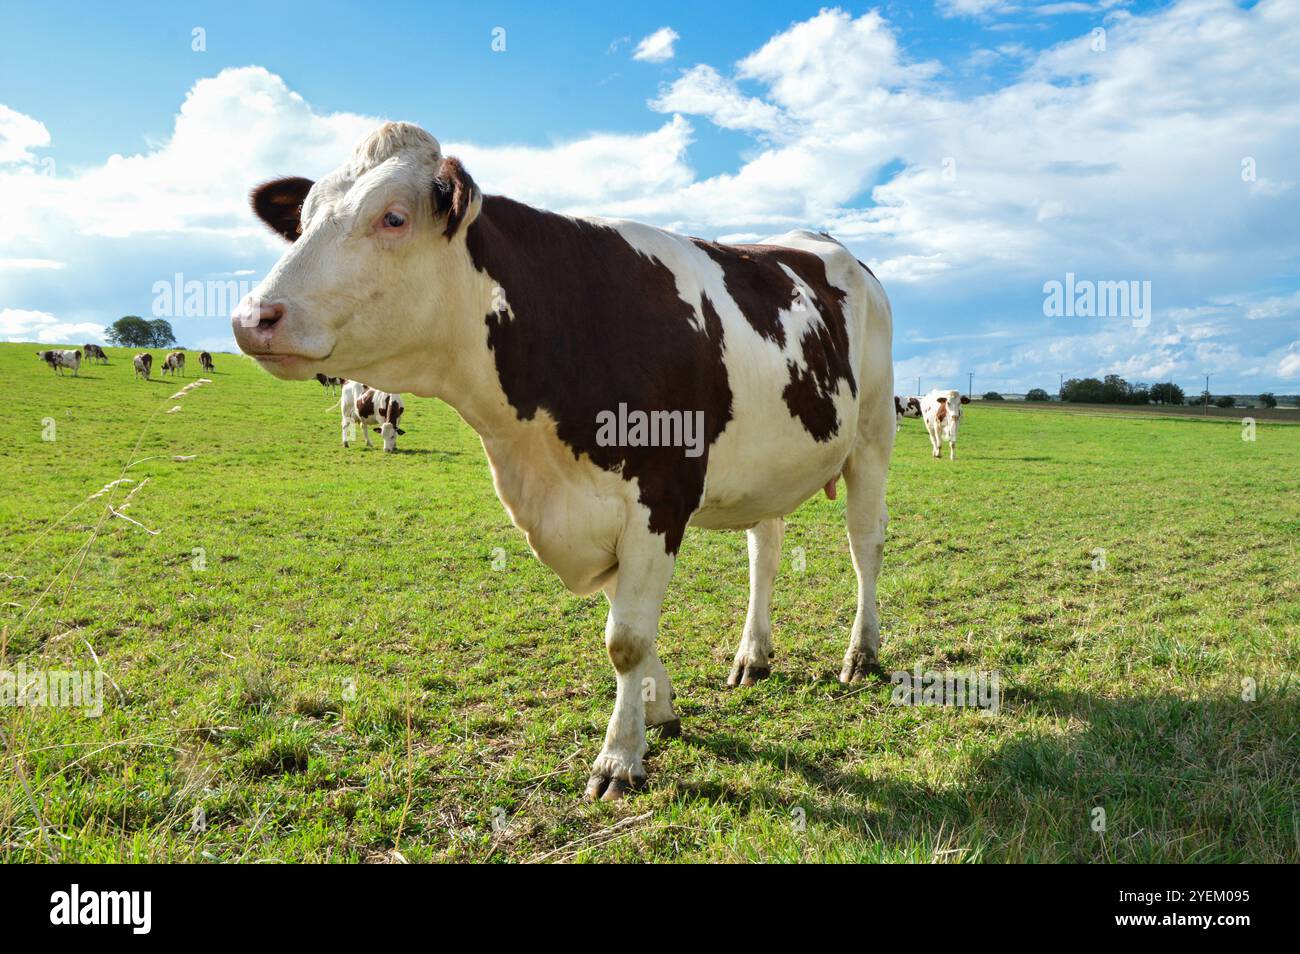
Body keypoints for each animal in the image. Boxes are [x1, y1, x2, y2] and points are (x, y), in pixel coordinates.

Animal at [231, 121, 894, 800]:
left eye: (393, 217)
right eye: (304, 218)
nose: (254, 316)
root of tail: (827, 244)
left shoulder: (660, 496)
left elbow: (624, 639)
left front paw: (619, 759)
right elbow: (624, 620)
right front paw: (660, 709)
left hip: (872, 434)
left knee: (864, 543)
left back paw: (861, 653)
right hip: (770, 465)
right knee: (766, 548)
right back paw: (752, 655)